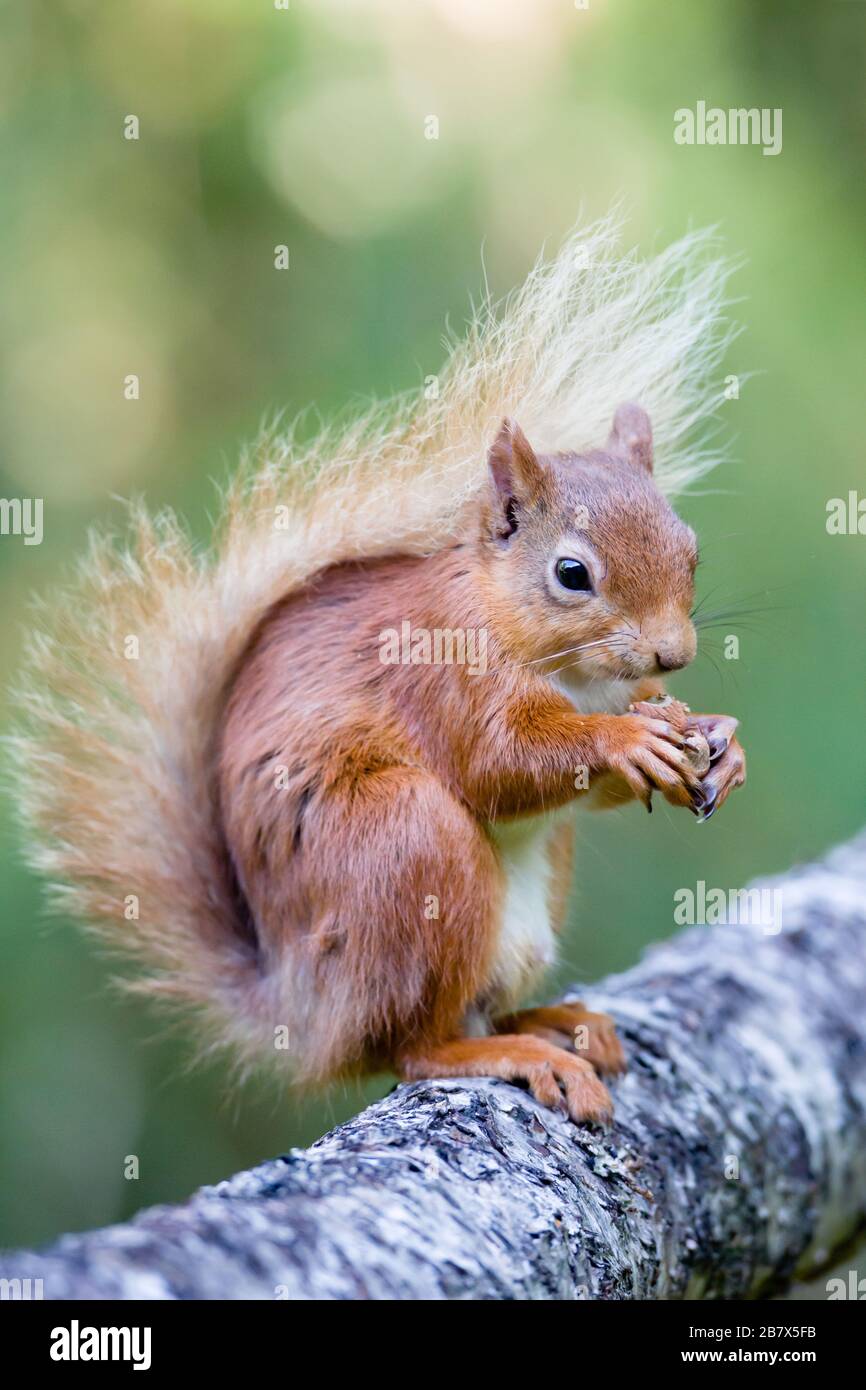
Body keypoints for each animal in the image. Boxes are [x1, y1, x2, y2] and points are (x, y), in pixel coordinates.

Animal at [11, 216, 745, 1125]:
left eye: (690, 550)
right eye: (573, 574)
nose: (673, 653)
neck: (564, 669)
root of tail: (306, 1013)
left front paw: (718, 739)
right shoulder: (440, 676)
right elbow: (498, 763)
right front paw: (625, 741)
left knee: (476, 1006)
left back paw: (556, 1021)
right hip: (404, 842)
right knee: (414, 1045)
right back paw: (509, 1052)